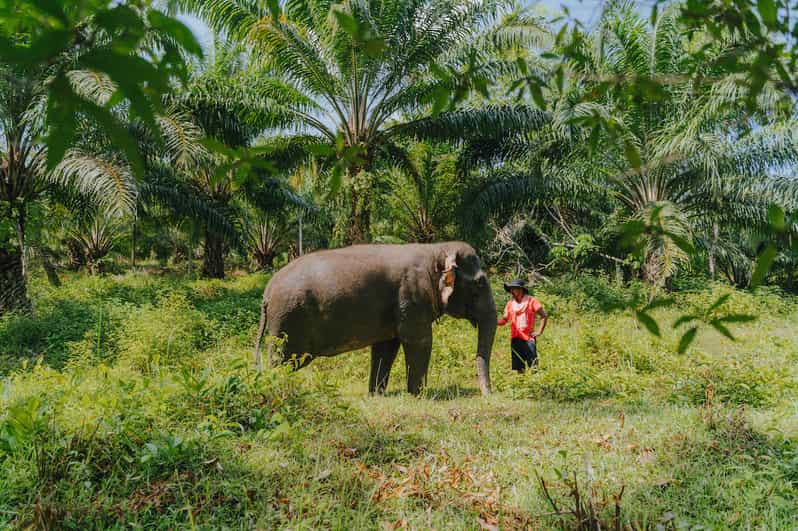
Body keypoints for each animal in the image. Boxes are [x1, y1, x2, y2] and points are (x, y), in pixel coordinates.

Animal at [253, 241, 497, 396]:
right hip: (288, 320)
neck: (436, 249)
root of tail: (267, 292)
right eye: (479, 284)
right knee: (283, 360)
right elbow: (419, 341)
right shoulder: (411, 298)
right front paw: (418, 395)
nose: (488, 395)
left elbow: (385, 347)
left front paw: (376, 394)